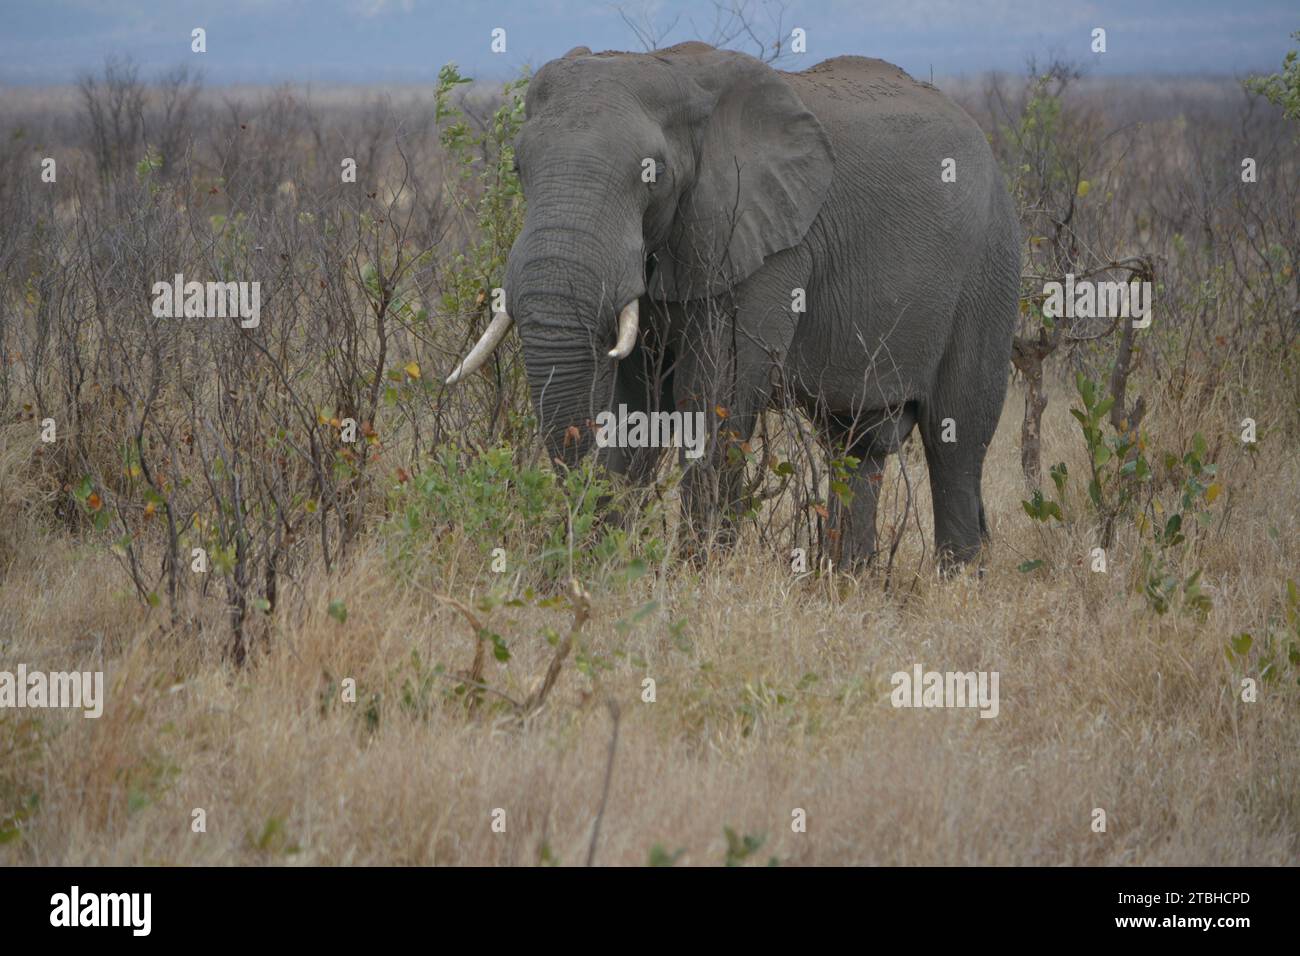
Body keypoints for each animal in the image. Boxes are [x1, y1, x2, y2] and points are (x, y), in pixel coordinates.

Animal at [446, 41, 1020, 571]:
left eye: (651, 174)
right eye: (517, 167)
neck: (675, 72)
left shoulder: (765, 245)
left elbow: (717, 399)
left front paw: (694, 577)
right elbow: (637, 408)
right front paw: (603, 569)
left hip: (988, 268)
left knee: (956, 441)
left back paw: (957, 581)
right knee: (855, 444)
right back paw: (847, 581)